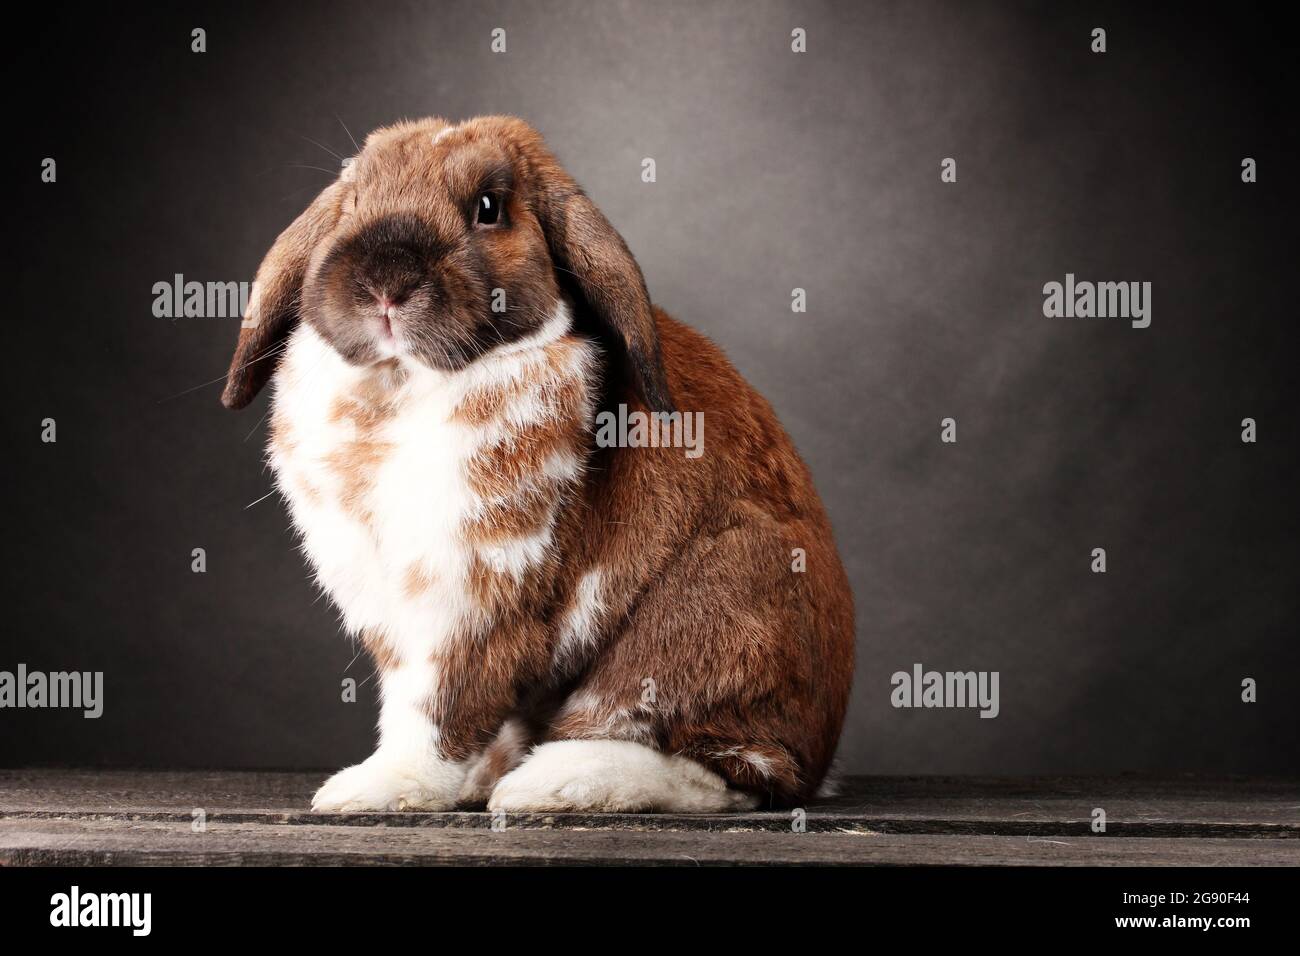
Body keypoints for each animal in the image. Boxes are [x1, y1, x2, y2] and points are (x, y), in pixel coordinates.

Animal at [221, 116, 854, 813]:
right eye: (353, 199)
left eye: (488, 208)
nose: (385, 284)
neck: (404, 385)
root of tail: (822, 751)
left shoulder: (476, 596)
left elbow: (437, 706)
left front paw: (379, 787)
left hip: (706, 619)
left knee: (730, 771)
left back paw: (553, 782)